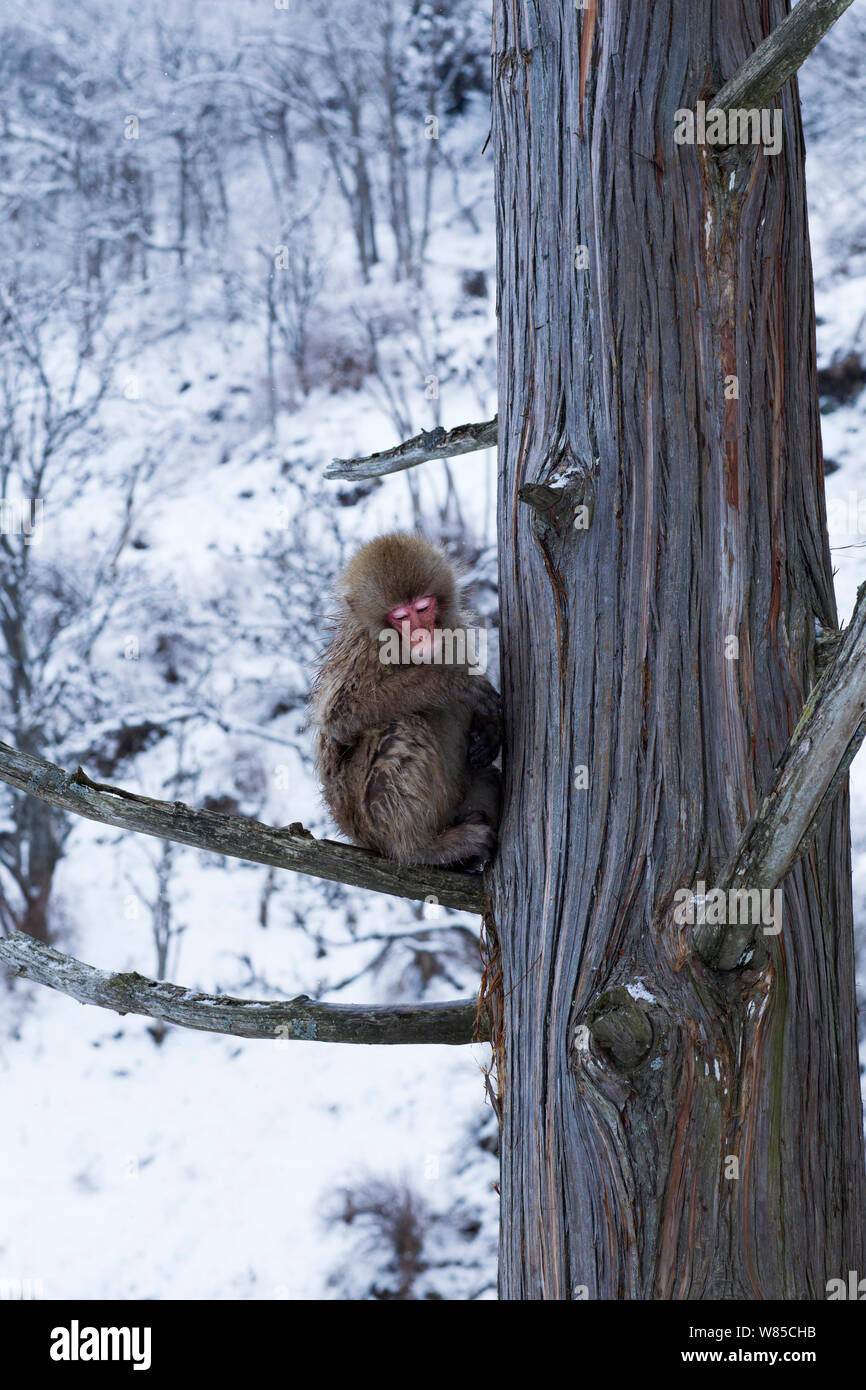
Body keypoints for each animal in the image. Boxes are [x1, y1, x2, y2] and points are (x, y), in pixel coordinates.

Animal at [310, 532, 502, 868]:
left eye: (423, 607)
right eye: (400, 616)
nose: (422, 635)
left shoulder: (454, 630)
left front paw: (490, 729)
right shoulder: (364, 653)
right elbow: (341, 716)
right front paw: (451, 683)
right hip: (368, 820)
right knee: (401, 728)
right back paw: (423, 848)